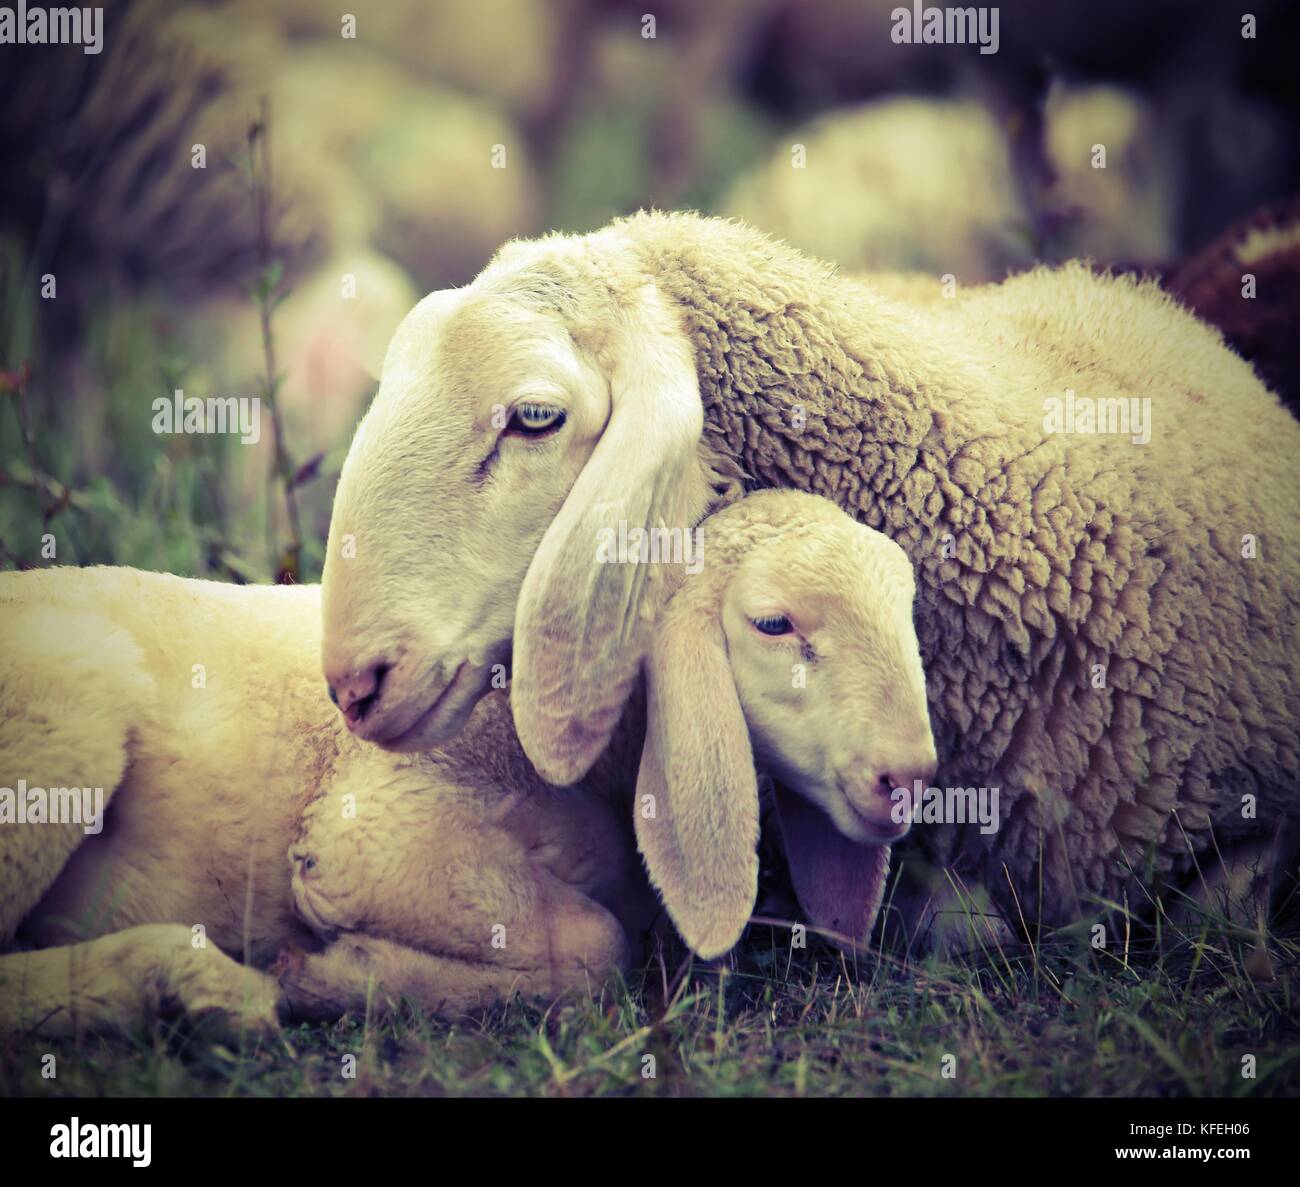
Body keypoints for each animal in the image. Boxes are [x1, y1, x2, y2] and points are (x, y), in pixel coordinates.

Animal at [1, 489, 936, 1033]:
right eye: (774, 622)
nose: (909, 778)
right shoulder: (369, 834)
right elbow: (597, 949)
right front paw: (335, 974)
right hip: (66, 720)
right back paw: (192, 984)